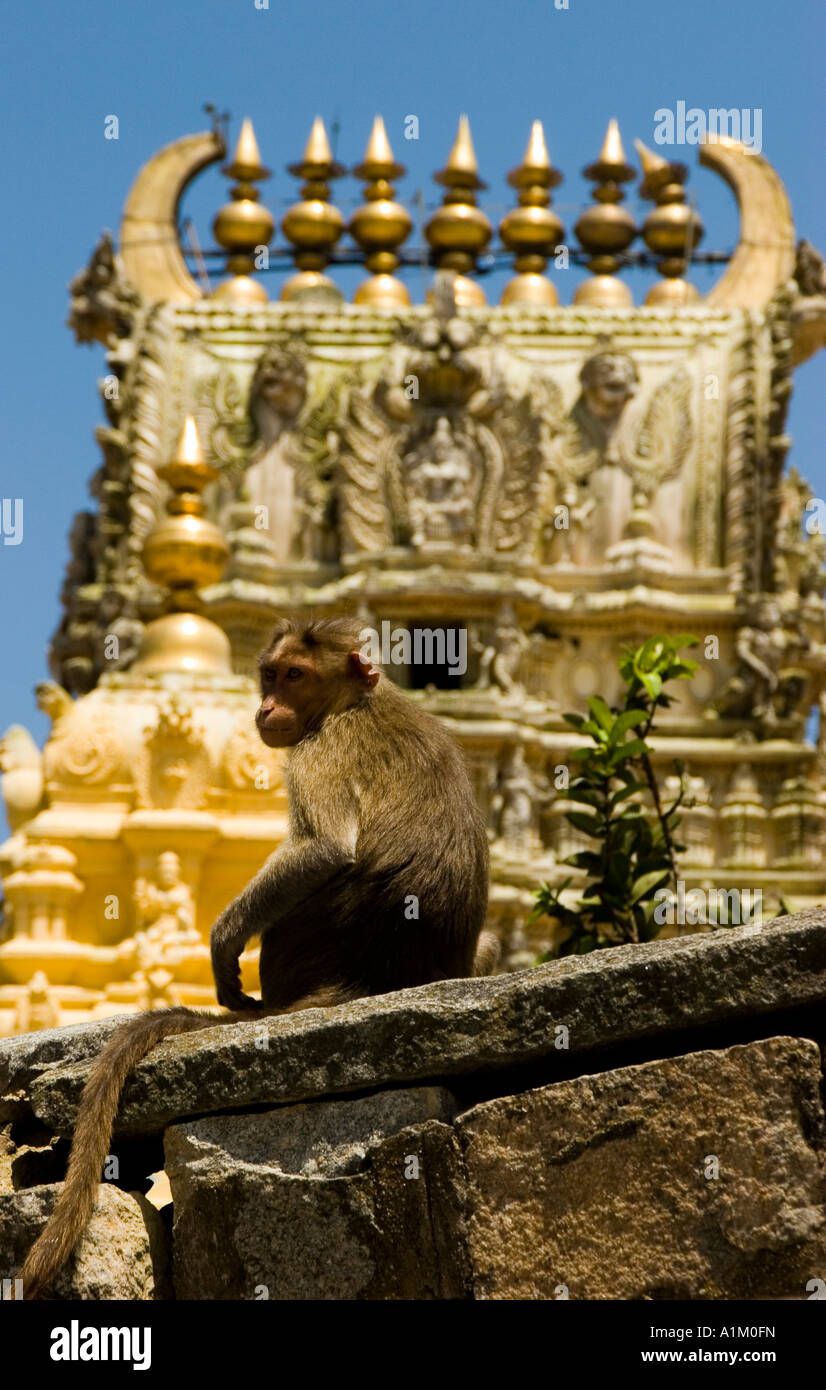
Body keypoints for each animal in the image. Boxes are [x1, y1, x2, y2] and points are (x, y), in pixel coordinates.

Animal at [18, 615, 496, 1299]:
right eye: (271, 674)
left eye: (294, 676)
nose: (266, 707)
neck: (356, 700)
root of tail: (362, 983)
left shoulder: (322, 747)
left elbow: (325, 848)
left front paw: (222, 942)